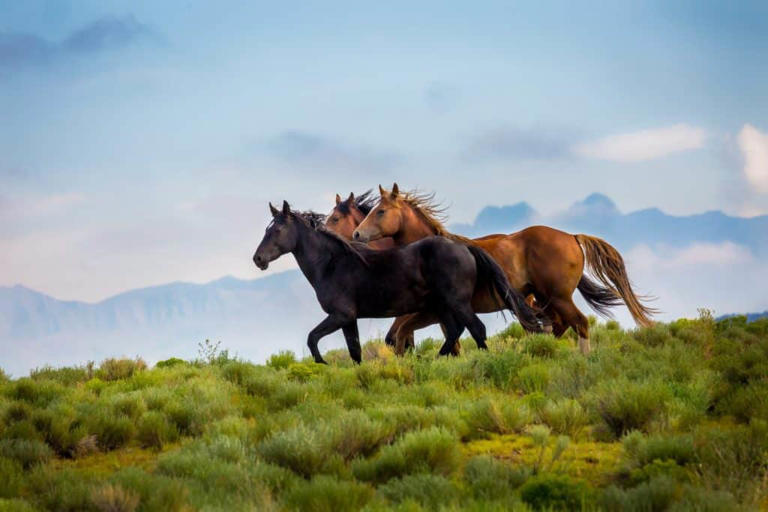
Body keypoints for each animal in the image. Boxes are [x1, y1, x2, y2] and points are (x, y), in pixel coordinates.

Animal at [253, 201, 541, 363]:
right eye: (266, 230)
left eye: (277, 230)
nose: (258, 259)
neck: (332, 264)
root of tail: (464, 247)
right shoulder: (349, 319)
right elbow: (355, 351)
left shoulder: (340, 315)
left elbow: (313, 338)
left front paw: (322, 364)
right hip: (444, 306)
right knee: (455, 332)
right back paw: (436, 360)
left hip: (456, 303)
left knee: (476, 330)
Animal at [352, 184, 656, 355]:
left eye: (381, 211)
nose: (356, 234)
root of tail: (572, 237)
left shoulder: (434, 310)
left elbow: (409, 334)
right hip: (545, 299)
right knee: (557, 326)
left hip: (558, 297)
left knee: (578, 323)